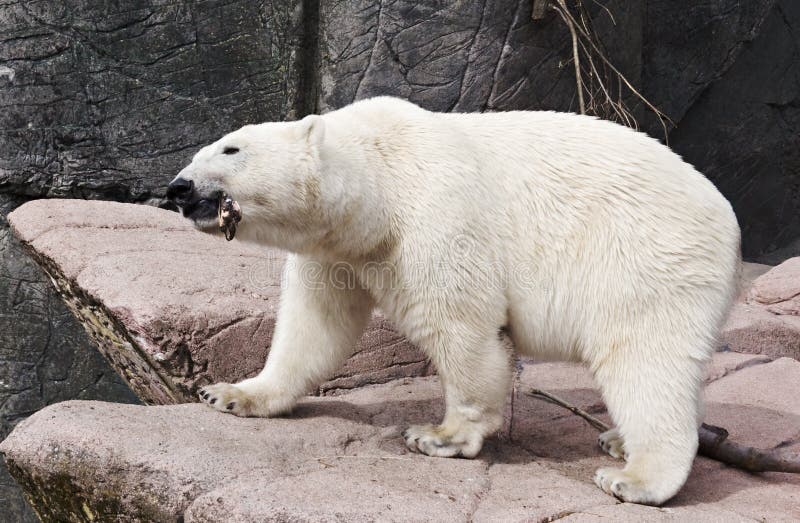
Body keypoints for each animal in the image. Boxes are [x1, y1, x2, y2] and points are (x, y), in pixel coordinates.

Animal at [166, 97, 740, 505]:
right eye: (200, 151)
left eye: (231, 149)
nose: (178, 187)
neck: (378, 177)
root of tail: (728, 221)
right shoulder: (337, 251)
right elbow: (315, 325)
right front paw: (232, 393)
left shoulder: (436, 214)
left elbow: (462, 324)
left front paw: (438, 435)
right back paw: (620, 440)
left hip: (643, 255)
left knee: (643, 357)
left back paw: (635, 477)